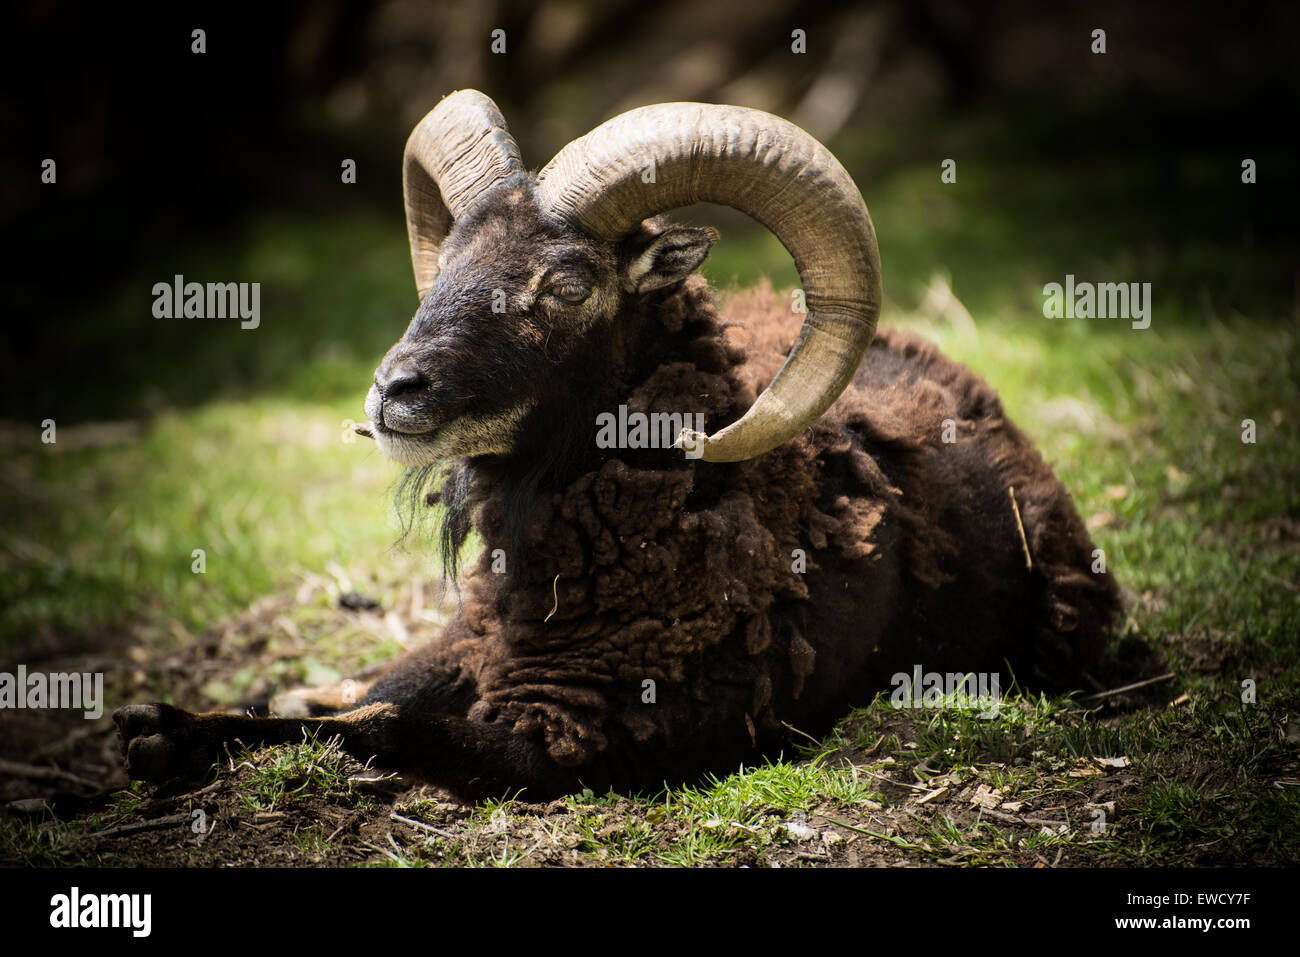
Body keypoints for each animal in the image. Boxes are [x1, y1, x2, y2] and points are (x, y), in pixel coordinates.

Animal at [114, 91, 1121, 800]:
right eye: (444, 267)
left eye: (568, 285)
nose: (395, 390)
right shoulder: (456, 654)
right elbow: (328, 700)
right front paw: (161, 726)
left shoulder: (571, 738)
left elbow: (376, 727)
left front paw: (164, 737)